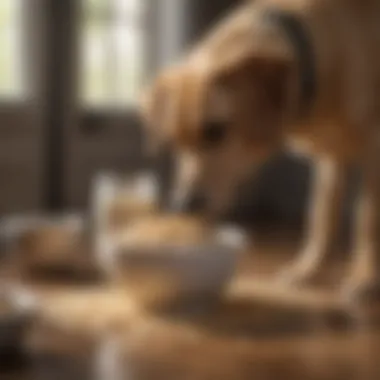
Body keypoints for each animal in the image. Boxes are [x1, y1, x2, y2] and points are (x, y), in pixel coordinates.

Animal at [140, 0, 380, 300]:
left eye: (216, 130)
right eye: (175, 142)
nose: (182, 207)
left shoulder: (372, 153)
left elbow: (367, 220)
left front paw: (365, 279)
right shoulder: (331, 158)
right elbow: (322, 216)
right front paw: (309, 271)